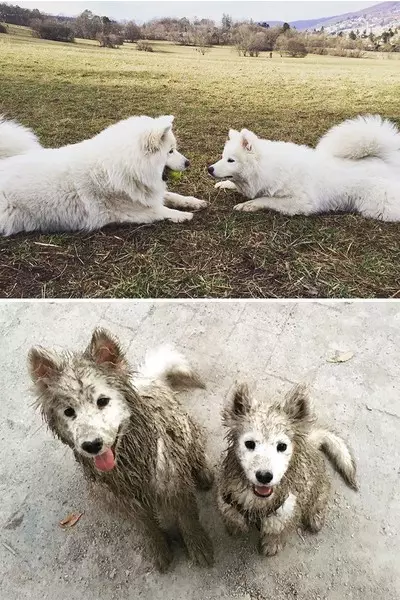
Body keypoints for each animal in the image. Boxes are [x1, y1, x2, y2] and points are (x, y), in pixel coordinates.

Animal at [0, 113, 206, 236]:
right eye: (170, 151)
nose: (188, 162)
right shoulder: (130, 211)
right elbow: (160, 210)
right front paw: (182, 215)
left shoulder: (145, 193)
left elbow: (173, 196)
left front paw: (193, 202)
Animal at [28, 330, 214, 568]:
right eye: (69, 411)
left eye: (102, 401)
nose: (92, 445)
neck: (130, 466)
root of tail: (151, 379)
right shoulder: (127, 504)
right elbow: (147, 528)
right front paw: (159, 550)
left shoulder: (175, 486)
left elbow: (188, 520)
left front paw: (199, 546)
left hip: (189, 432)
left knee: (197, 454)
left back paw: (204, 473)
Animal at [208, 113, 400, 221]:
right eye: (222, 157)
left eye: (231, 160)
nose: (209, 169)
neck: (268, 168)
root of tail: (388, 162)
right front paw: (224, 184)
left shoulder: (301, 203)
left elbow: (266, 199)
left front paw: (248, 205)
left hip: (378, 208)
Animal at [217, 384, 358, 556]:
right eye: (249, 443)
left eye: (282, 446)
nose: (264, 476)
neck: (259, 502)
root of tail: (311, 442)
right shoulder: (227, 500)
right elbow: (233, 517)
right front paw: (235, 527)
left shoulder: (286, 511)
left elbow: (277, 532)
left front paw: (272, 544)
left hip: (318, 487)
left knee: (320, 499)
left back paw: (315, 516)